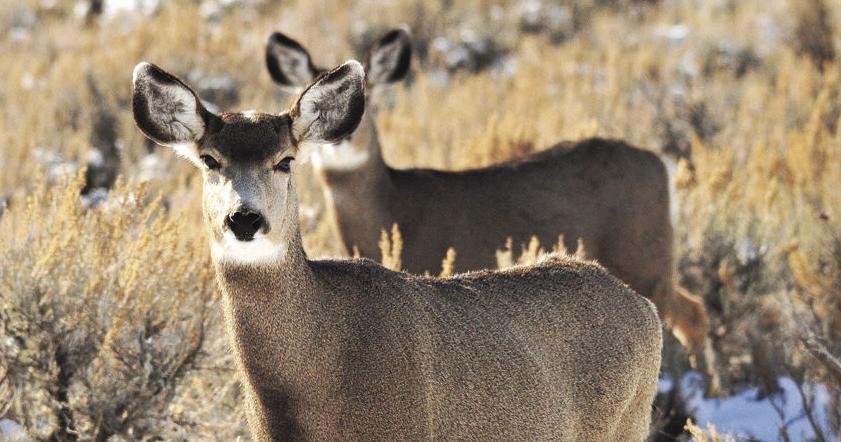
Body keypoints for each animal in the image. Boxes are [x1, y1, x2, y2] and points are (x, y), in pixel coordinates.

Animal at [265, 28, 710, 360]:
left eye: (368, 98)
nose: (345, 135)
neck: (392, 209)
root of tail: (661, 165)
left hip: (643, 253)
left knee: (688, 315)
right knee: (694, 310)